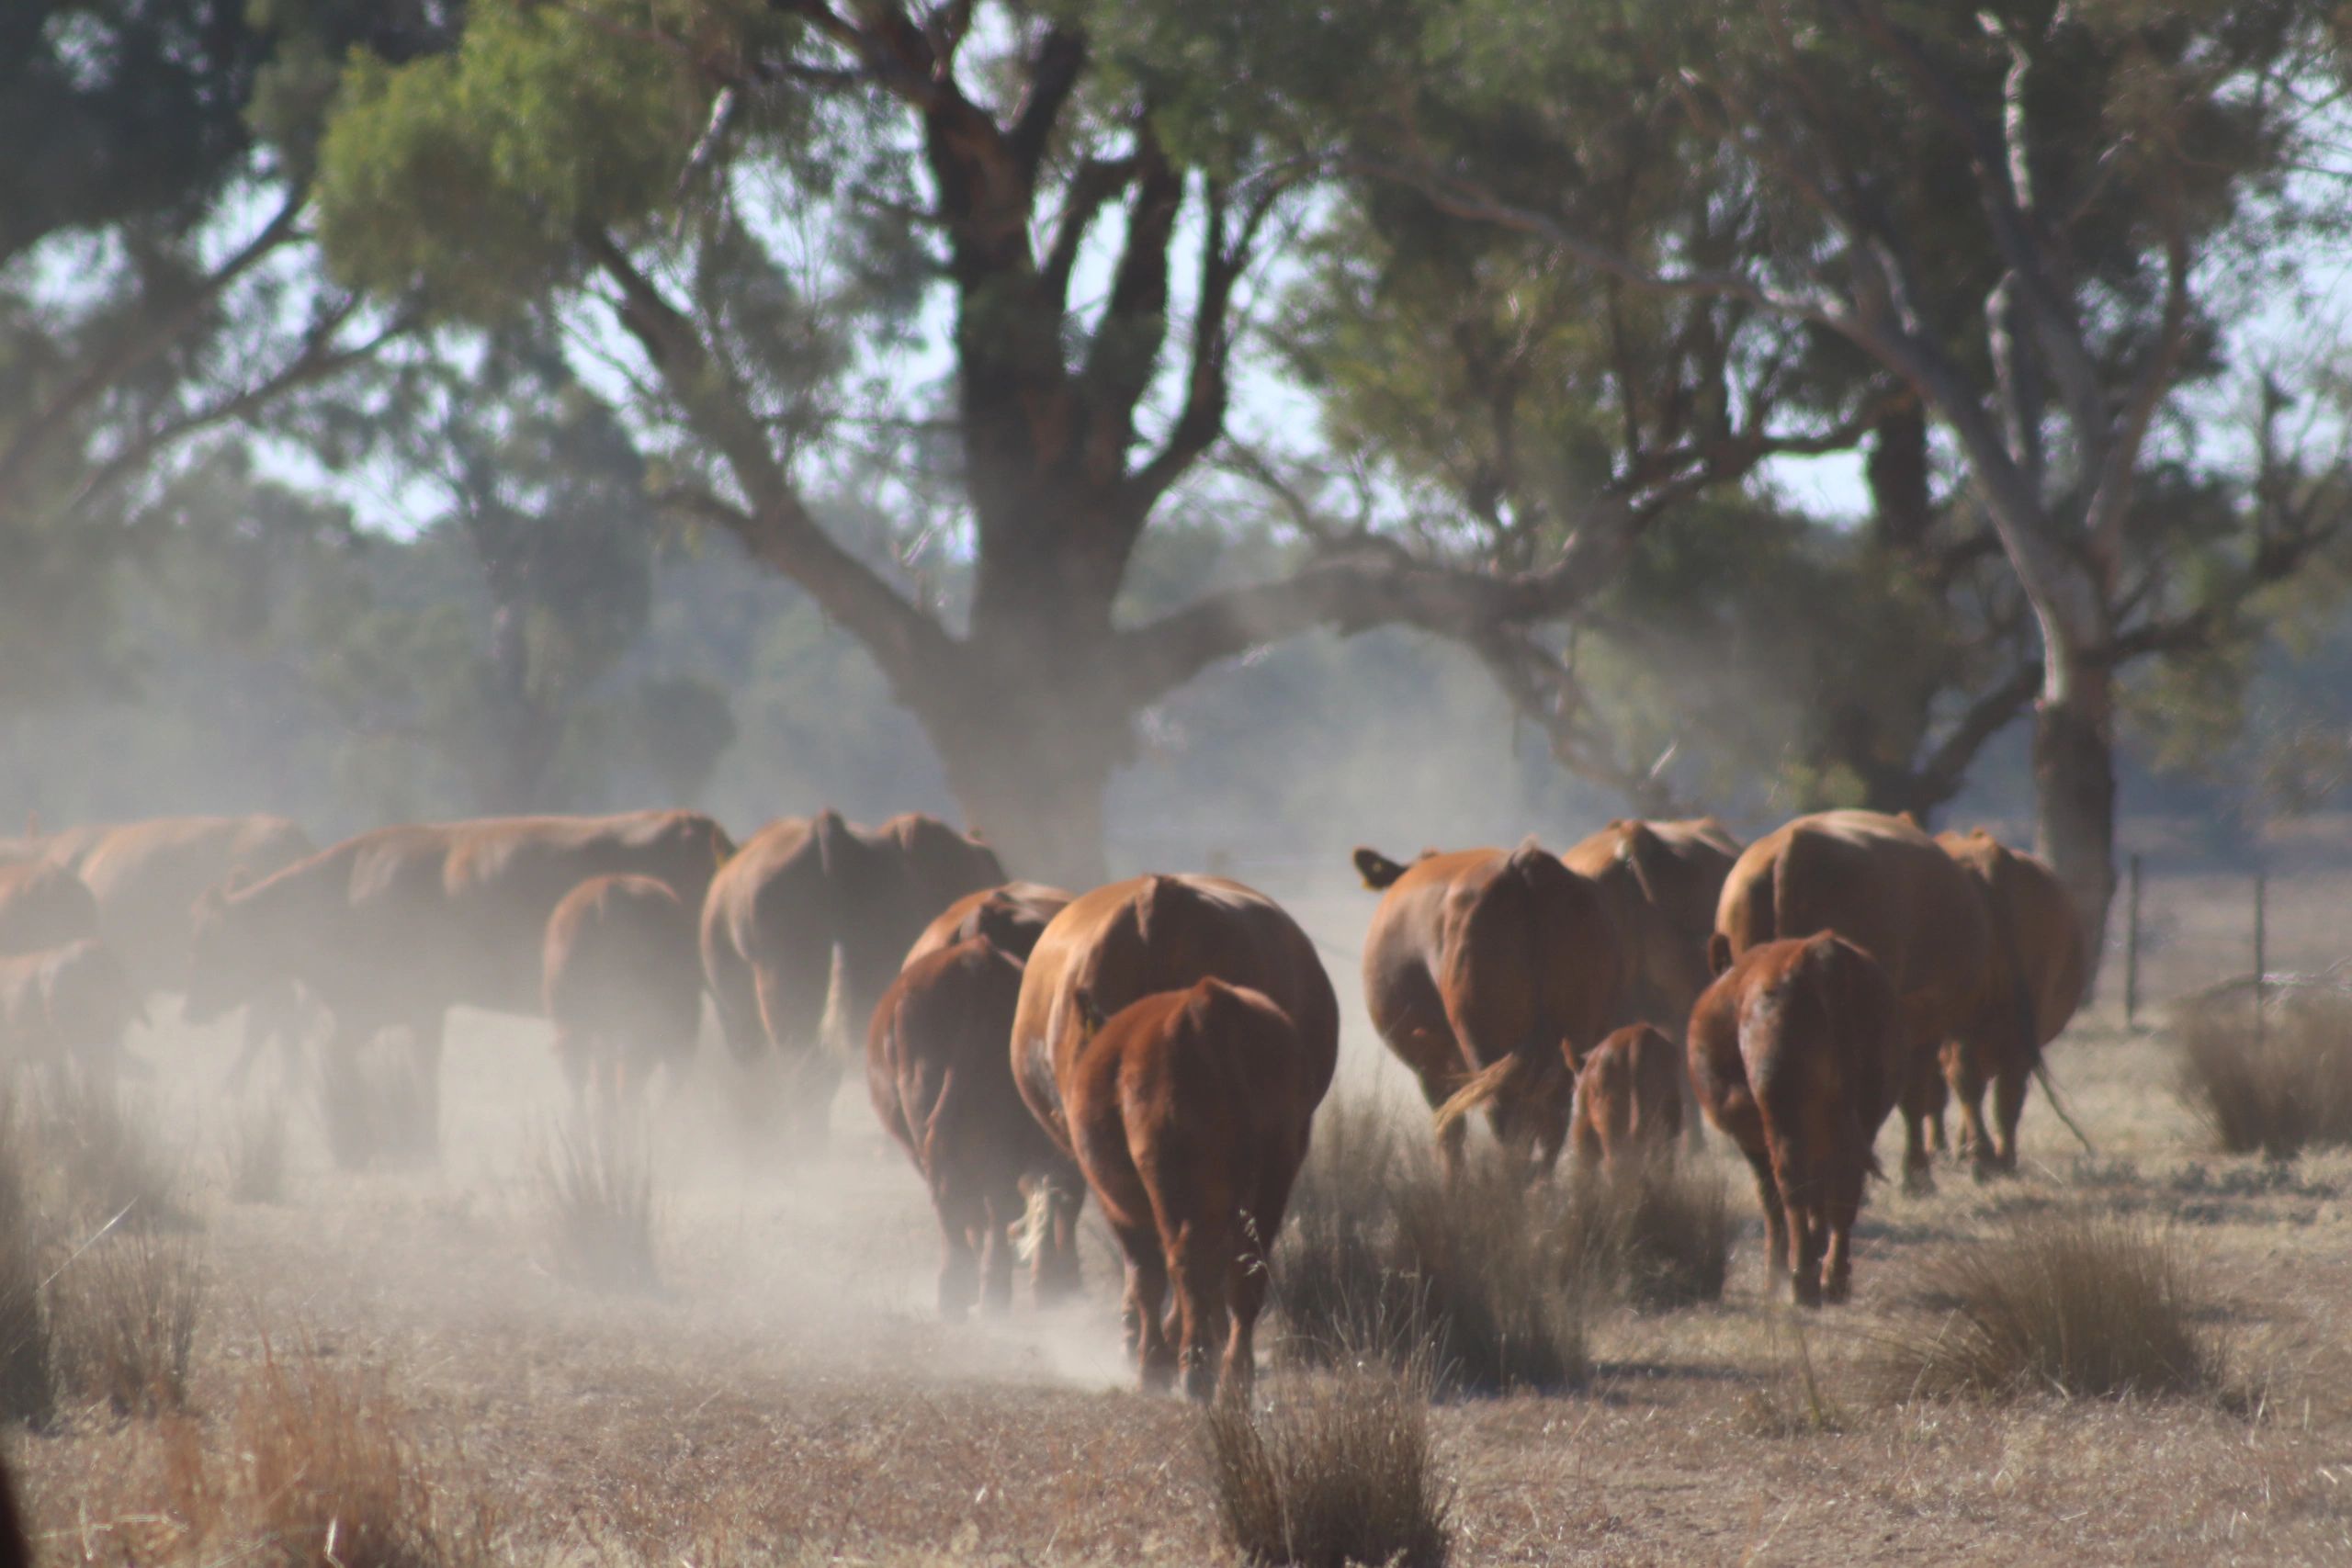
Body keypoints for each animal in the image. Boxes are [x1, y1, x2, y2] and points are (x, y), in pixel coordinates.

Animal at [1064, 978, 1315, 1401]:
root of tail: (1207, 1001)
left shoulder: (1118, 1210)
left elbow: (1146, 1277)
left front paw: (1153, 1365)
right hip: (1274, 1175)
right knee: (1243, 1272)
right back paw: (1233, 1374)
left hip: (1170, 1179)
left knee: (1184, 1260)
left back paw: (1190, 1370)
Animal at [1354, 841, 1623, 1178]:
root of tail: (1524, 865)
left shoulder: (1430, 1067)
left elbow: (1450, 1133)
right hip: (1572, 1036)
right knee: (1552, 1119)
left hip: (1482, 1040)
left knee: (1504, 1116)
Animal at [1567, 1023, 1686, 1176]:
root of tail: (1640, 1033)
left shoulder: (1582, 1127)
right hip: (1667, 1121)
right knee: (1663, 1164)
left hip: (1611, 1128)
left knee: (1613, 1165)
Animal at [1688, 934, 1904, 1306]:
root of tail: (1821, 952)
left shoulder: (1751, 1137)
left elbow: (1771, 1198)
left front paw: (1773, 1274)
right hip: (1866, 1109)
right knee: (1845, 1187)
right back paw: (1834, 1279)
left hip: (1781, 1112)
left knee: (1791, 1185)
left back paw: (1801, 1280)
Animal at [1927, 829, 2089, 1175]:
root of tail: (1986, 854)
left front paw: (1941, 1150)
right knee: (2008, 1086)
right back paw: (2002, 1158)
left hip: (1961, 1018)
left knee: (1964, 1075)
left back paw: (1982, 1155)